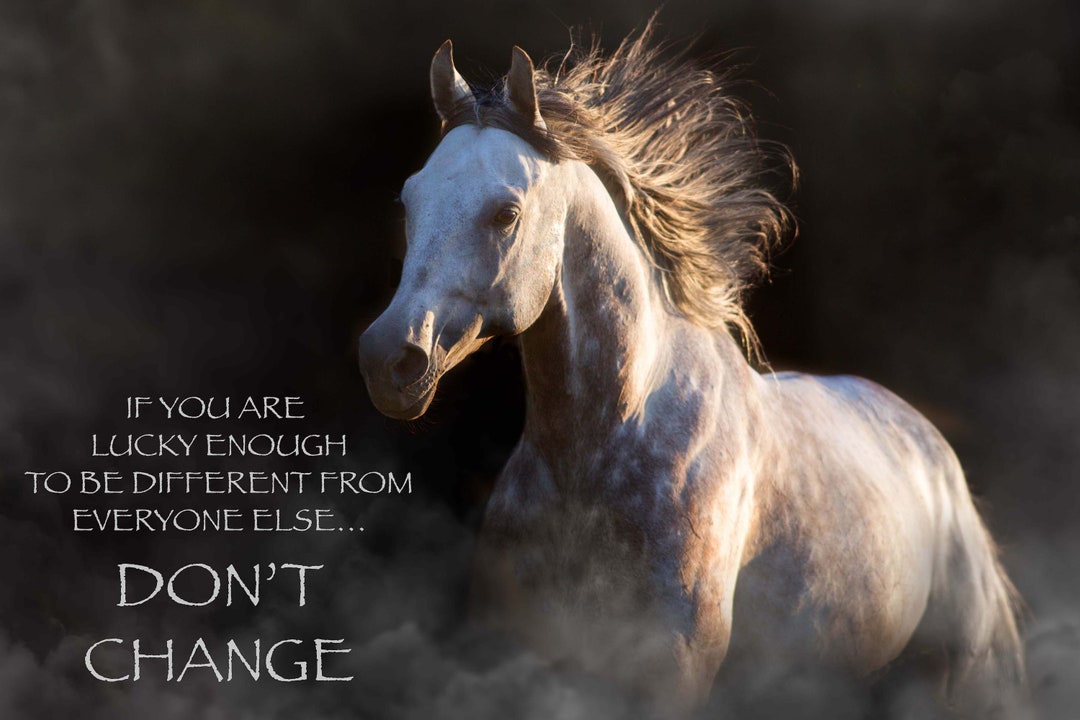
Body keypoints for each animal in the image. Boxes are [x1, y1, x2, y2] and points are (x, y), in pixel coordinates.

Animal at [356, 26, 1026, 718]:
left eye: (505, 213)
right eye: (409, 199)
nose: (388, 358)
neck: (597, 458)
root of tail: (936, 458)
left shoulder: (668, 670)